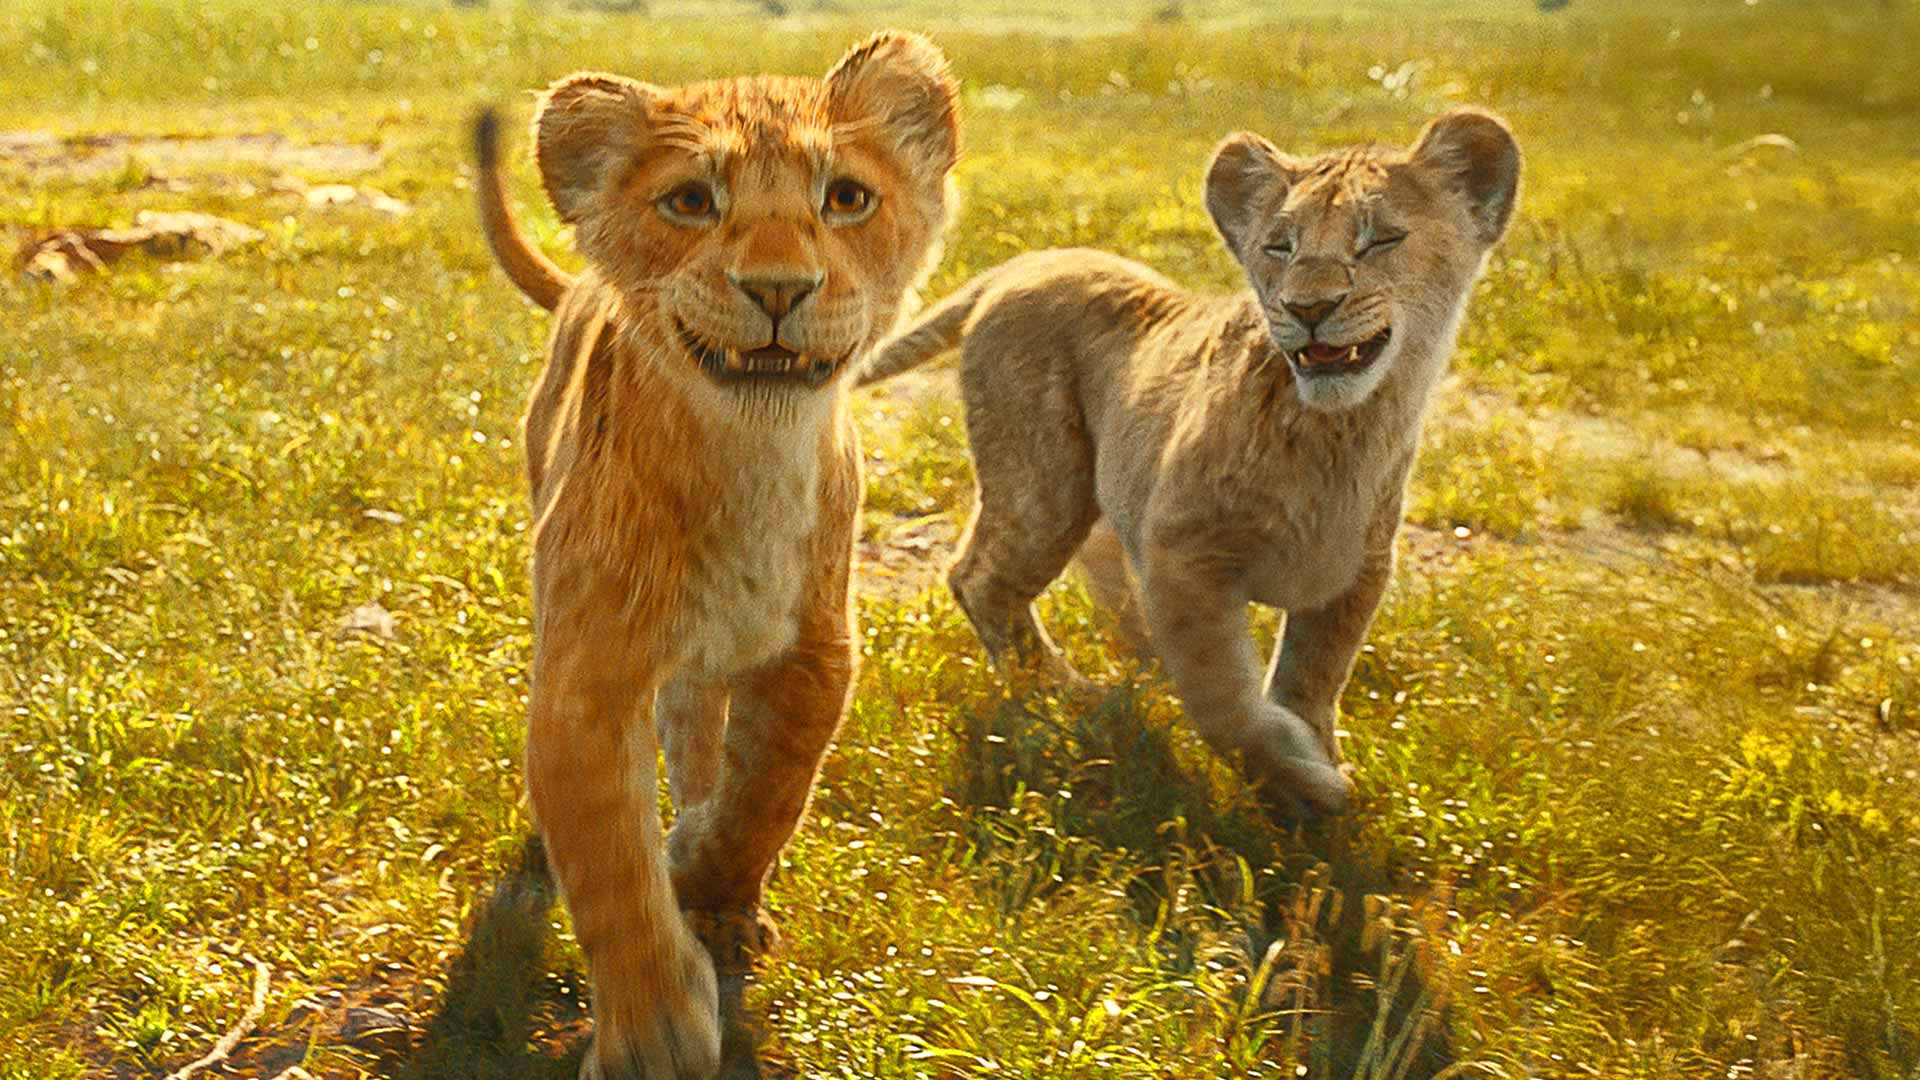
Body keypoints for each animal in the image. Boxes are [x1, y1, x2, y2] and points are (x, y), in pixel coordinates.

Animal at [473, 33, 958, 1080]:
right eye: (692, 201)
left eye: (845, 197)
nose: (778, 290)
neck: (749, 461)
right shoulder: (587, 675)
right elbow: (611, 864)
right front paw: (653, 1029)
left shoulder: (817, 651)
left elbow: (769, 792)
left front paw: (710, 879)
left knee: (700, 727)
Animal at [857, 108, 1520, 819]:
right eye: (1279, 247)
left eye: (1382, 240)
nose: (1309, 309)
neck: (1342, 432)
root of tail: (1033, 258)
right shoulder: (1183, 555)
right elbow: (1225, 701)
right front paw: (1305, 777)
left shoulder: (1354, 571)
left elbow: (1313, 677)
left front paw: (1315, 777)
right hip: (1043, 483)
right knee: (980, 577)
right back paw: (1066, 696)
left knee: (1095, 561)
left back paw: (1138, 662)